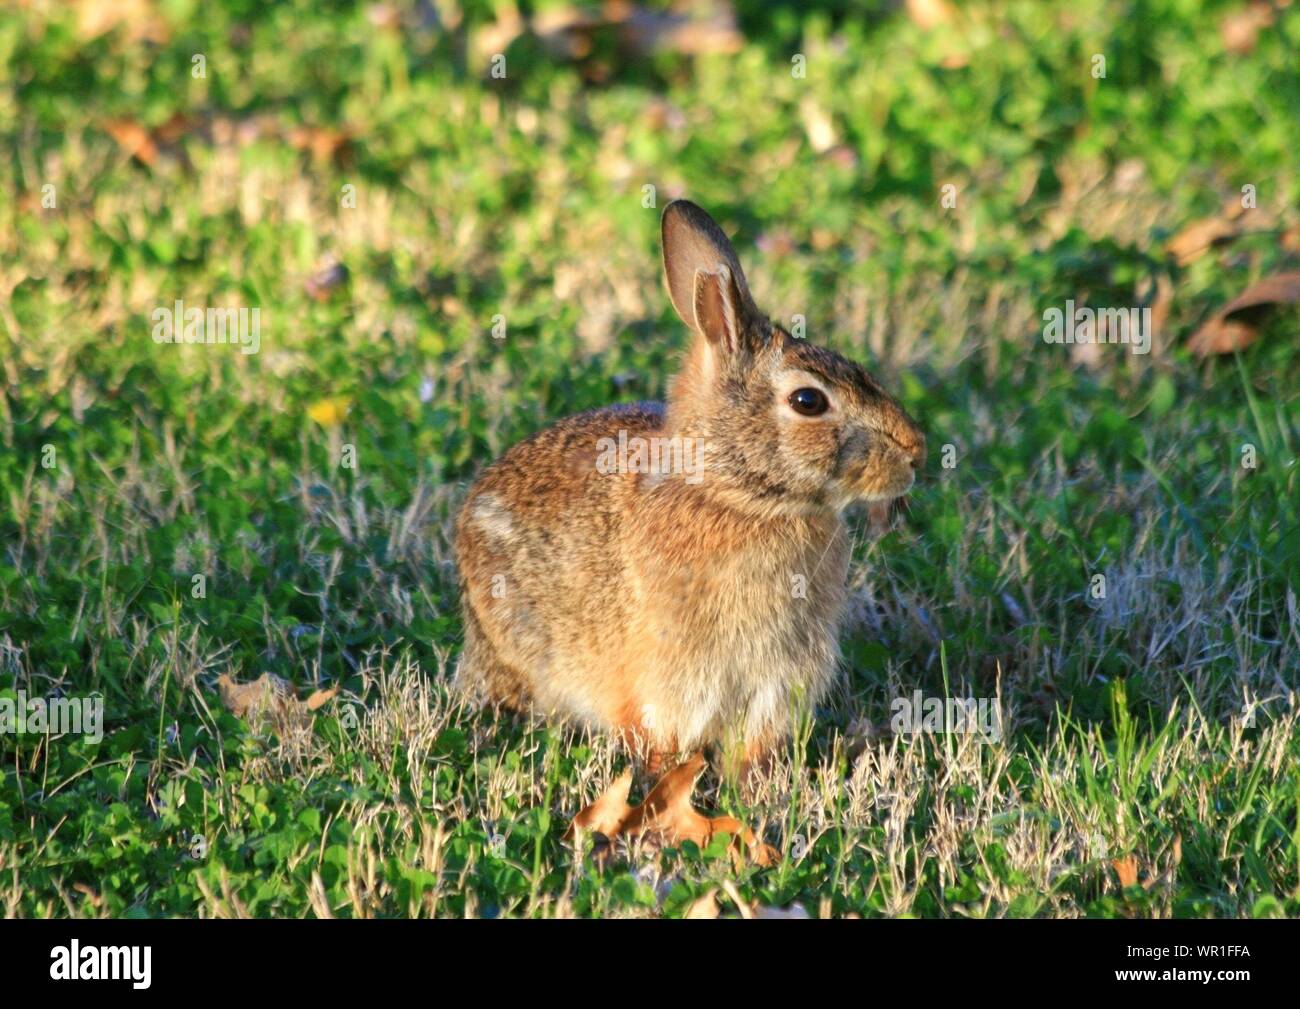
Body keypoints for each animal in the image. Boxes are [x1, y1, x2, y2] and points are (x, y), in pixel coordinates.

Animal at [454, 200, 925, 775]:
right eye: (809, 401)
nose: (915, 451)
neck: (733, 497)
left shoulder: (775, 682)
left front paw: (750, 781)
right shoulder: (668, 680)